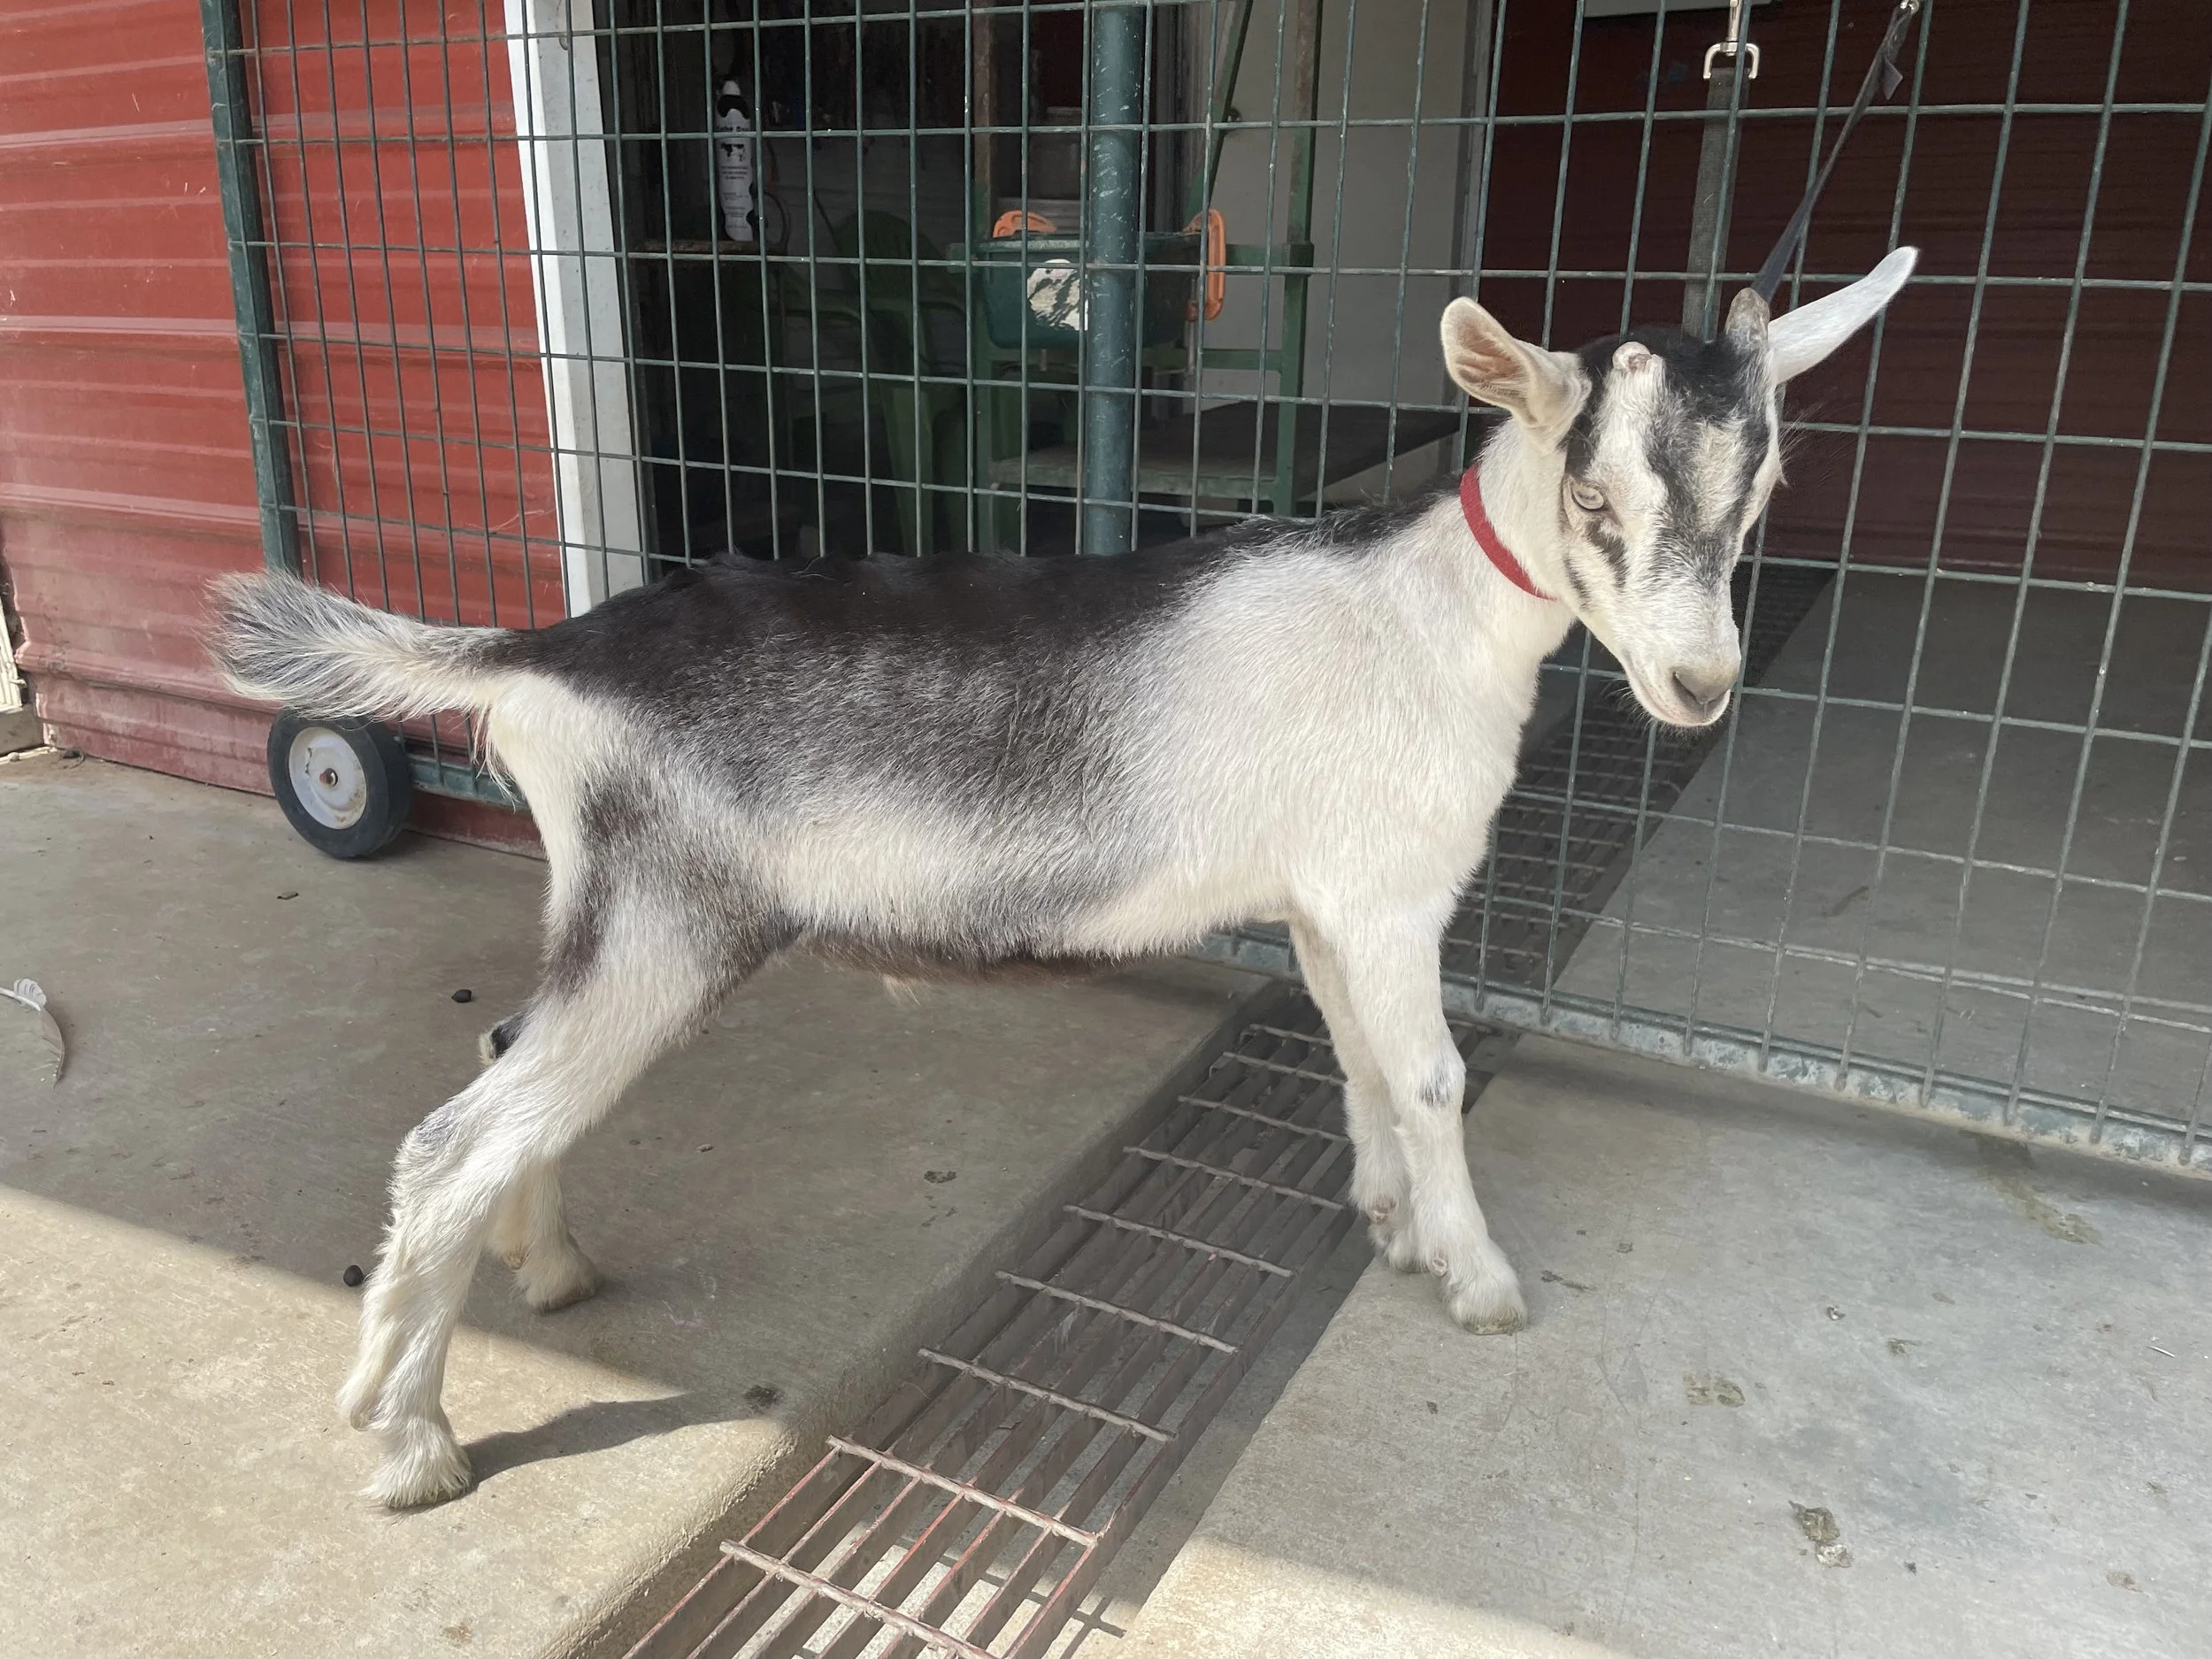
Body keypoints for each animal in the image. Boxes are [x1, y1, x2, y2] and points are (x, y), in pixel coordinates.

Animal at [211, 251, 1915, 1507]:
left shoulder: (1326, 902)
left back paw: (549, 1265)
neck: (1427, 614)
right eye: (1597, 501)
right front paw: (1481, 1278)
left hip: (614, 917)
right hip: (666, 921)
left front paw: (1391, 1223)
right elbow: (1431, 1076)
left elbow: (1361, 1062)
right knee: (449, 1140)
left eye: (1759, 501)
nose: (1698, 688)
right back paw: (410, 1440)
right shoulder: (1386, 894)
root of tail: (537, 655)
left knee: (504, 1064)